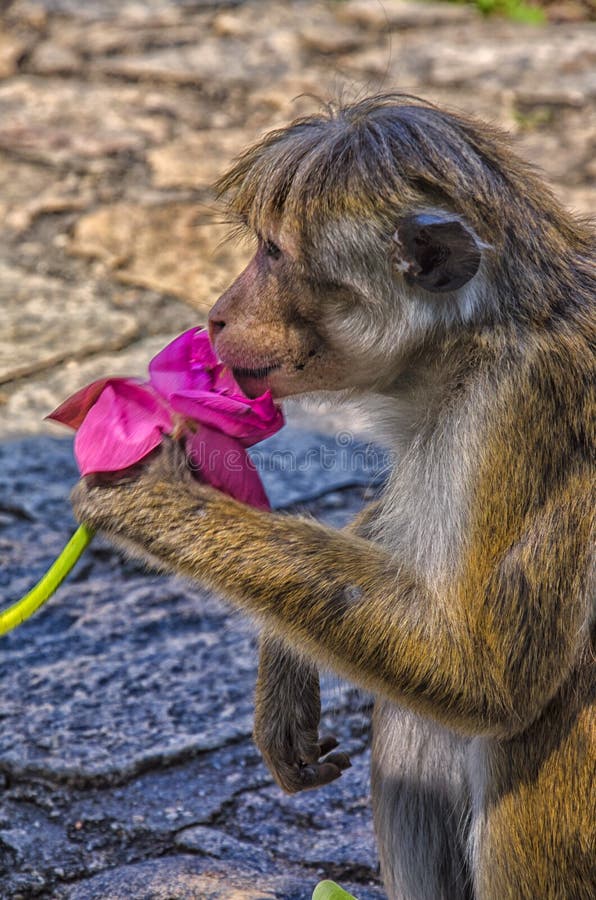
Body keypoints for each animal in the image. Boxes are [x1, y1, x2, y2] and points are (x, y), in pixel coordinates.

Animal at [71, 94, 595, 900]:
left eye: (272, 254)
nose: (218, 314)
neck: (475, 339)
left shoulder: (521, 408)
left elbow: (485, 674)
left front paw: (156, 500)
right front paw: (283, 663)